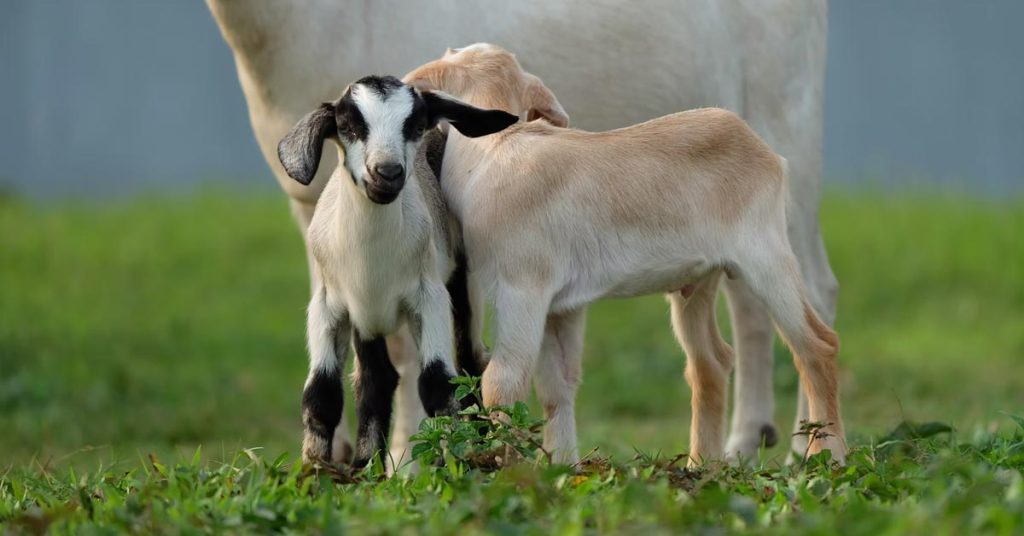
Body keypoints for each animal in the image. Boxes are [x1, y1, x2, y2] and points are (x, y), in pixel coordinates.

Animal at [277, 75, 517, 467]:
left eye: (415, 126)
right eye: (348, 126)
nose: (387, 173)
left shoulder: (429, 297)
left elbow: (438, 385)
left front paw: (452, 467)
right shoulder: (331, 305)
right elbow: (321, 393)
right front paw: (315, 470)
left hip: (460, 281)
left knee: (470, 363)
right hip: (367, 320)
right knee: (376, 379)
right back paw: (365, 466)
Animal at [404, 44, 848, 466]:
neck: (492, 151)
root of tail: (766, 152)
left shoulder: (522, 287)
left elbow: (503, 380)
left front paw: (504, 467)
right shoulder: (561, 306)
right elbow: (557, 384)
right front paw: (562, 466)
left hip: (766, 253)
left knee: (816, 344)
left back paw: (825, 455)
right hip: (698, 281)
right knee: (711, 363)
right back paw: (701, 465)